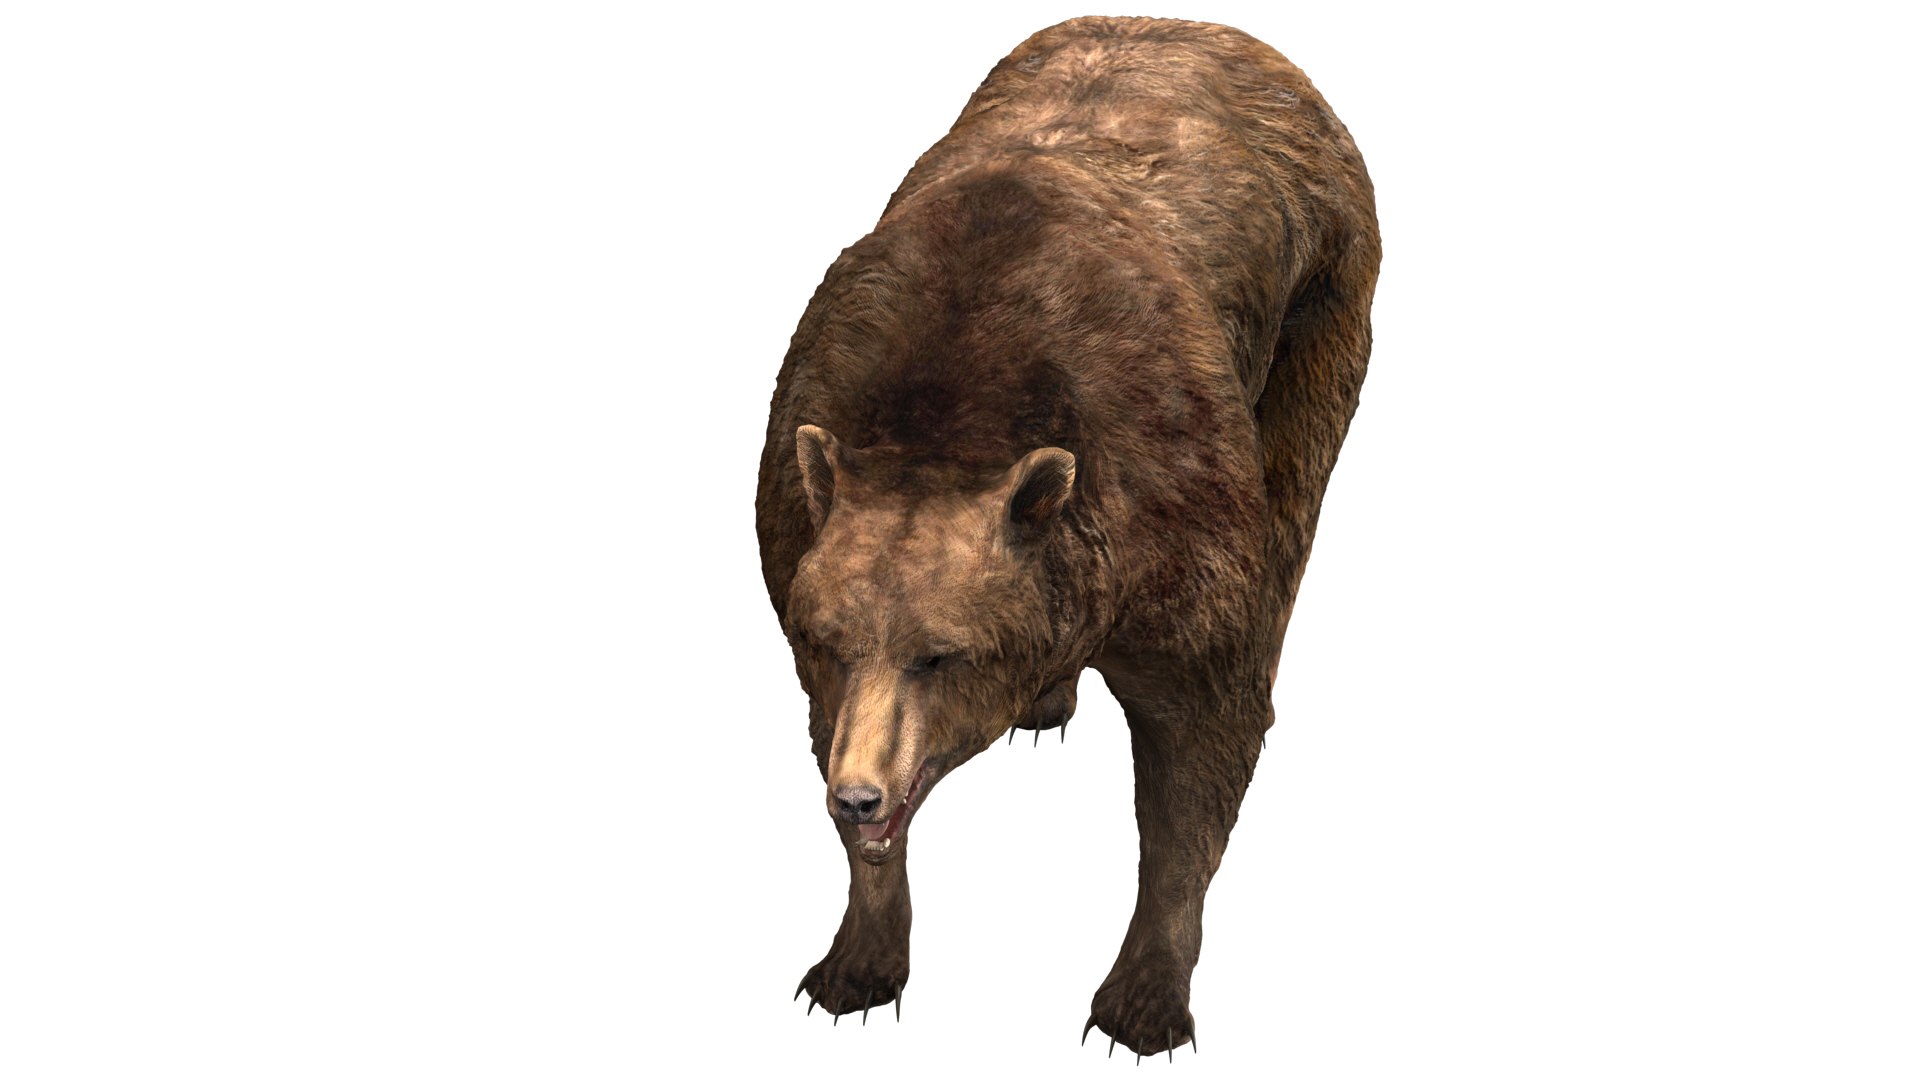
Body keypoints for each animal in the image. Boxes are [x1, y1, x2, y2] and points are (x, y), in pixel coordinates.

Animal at [754, 16, 1379, 1056]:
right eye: (829, 639)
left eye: (939, 653)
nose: (860, 793)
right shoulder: (801, 500)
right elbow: (826, 726)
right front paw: (853, 964)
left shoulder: (1174, 504)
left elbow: (1201, 741)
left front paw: (1141, 1001)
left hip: (1324, 301)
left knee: (1294, 503)